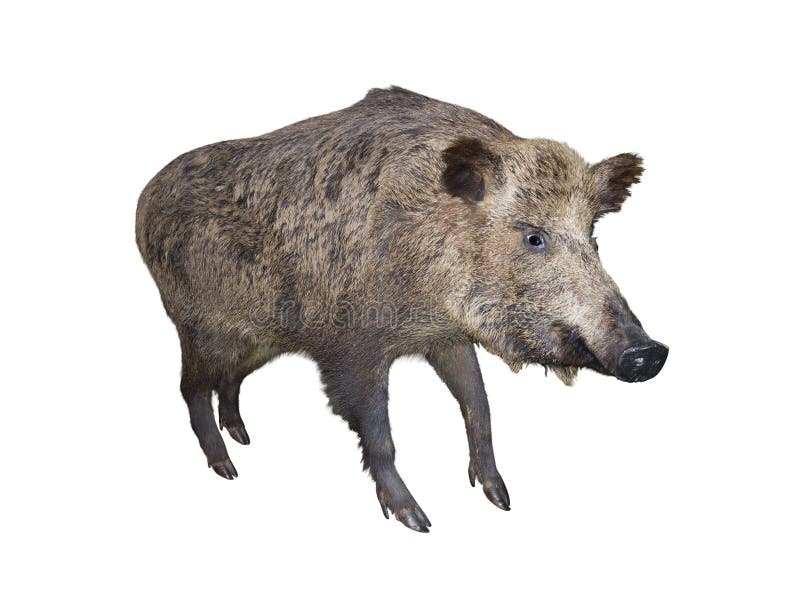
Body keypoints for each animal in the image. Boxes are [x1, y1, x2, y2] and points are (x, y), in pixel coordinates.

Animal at [136, 86, 668, 532]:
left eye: (593, 237)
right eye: (533, 237)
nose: (650, 352)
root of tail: (142, 202)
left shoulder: (446, 336)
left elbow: (478, 404)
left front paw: (501, 499)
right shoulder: (350, 350)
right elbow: (379, 431)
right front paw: (418, 521)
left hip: (256, 343)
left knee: (228, 383)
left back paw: (243, 438)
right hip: (199, 327)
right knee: (189, 388)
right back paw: (228, 468)